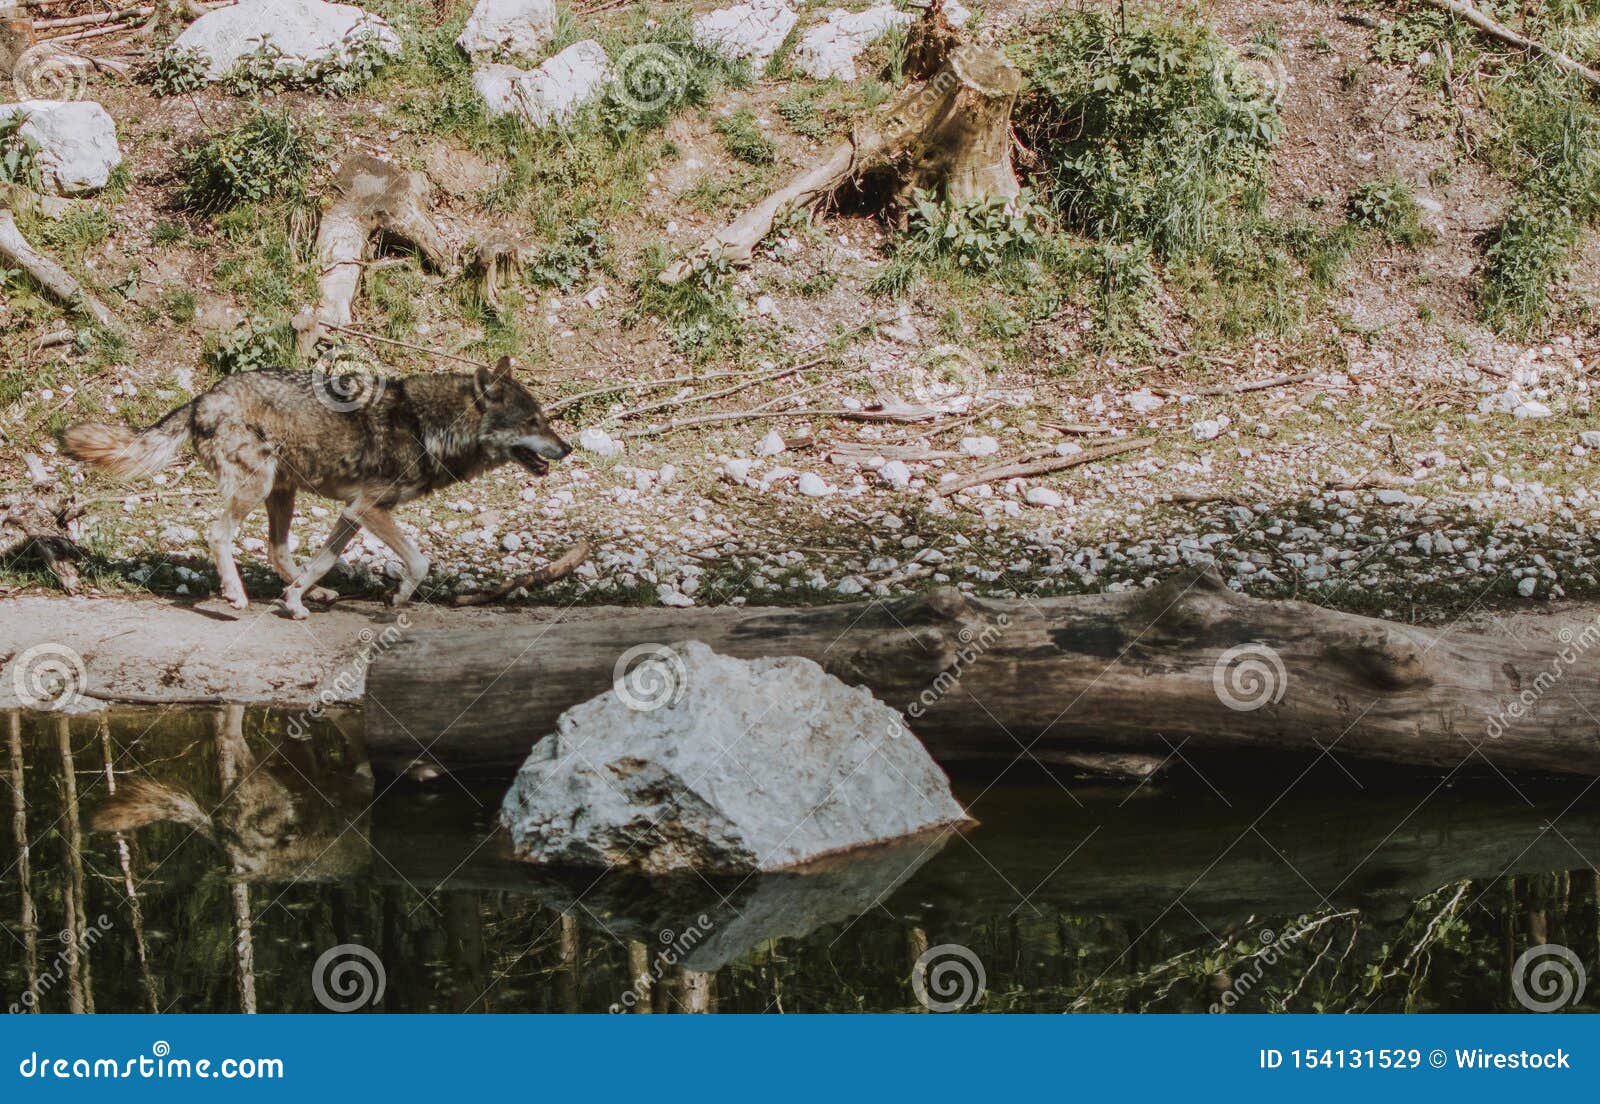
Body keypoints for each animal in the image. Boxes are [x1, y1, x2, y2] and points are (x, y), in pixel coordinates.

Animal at [62, 356, 571, 618]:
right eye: (532, 422)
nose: (566, 448)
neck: (428, 426)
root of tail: (202, 397)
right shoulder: (369, 509)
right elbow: (420, 562)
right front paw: (397, 599)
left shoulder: (351, 513)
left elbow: (322, 561)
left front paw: (295, 599)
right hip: (257, 488)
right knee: (219, 535)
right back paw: (236, 595)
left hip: (281, 493)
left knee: (278, 551)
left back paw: (312, 596)